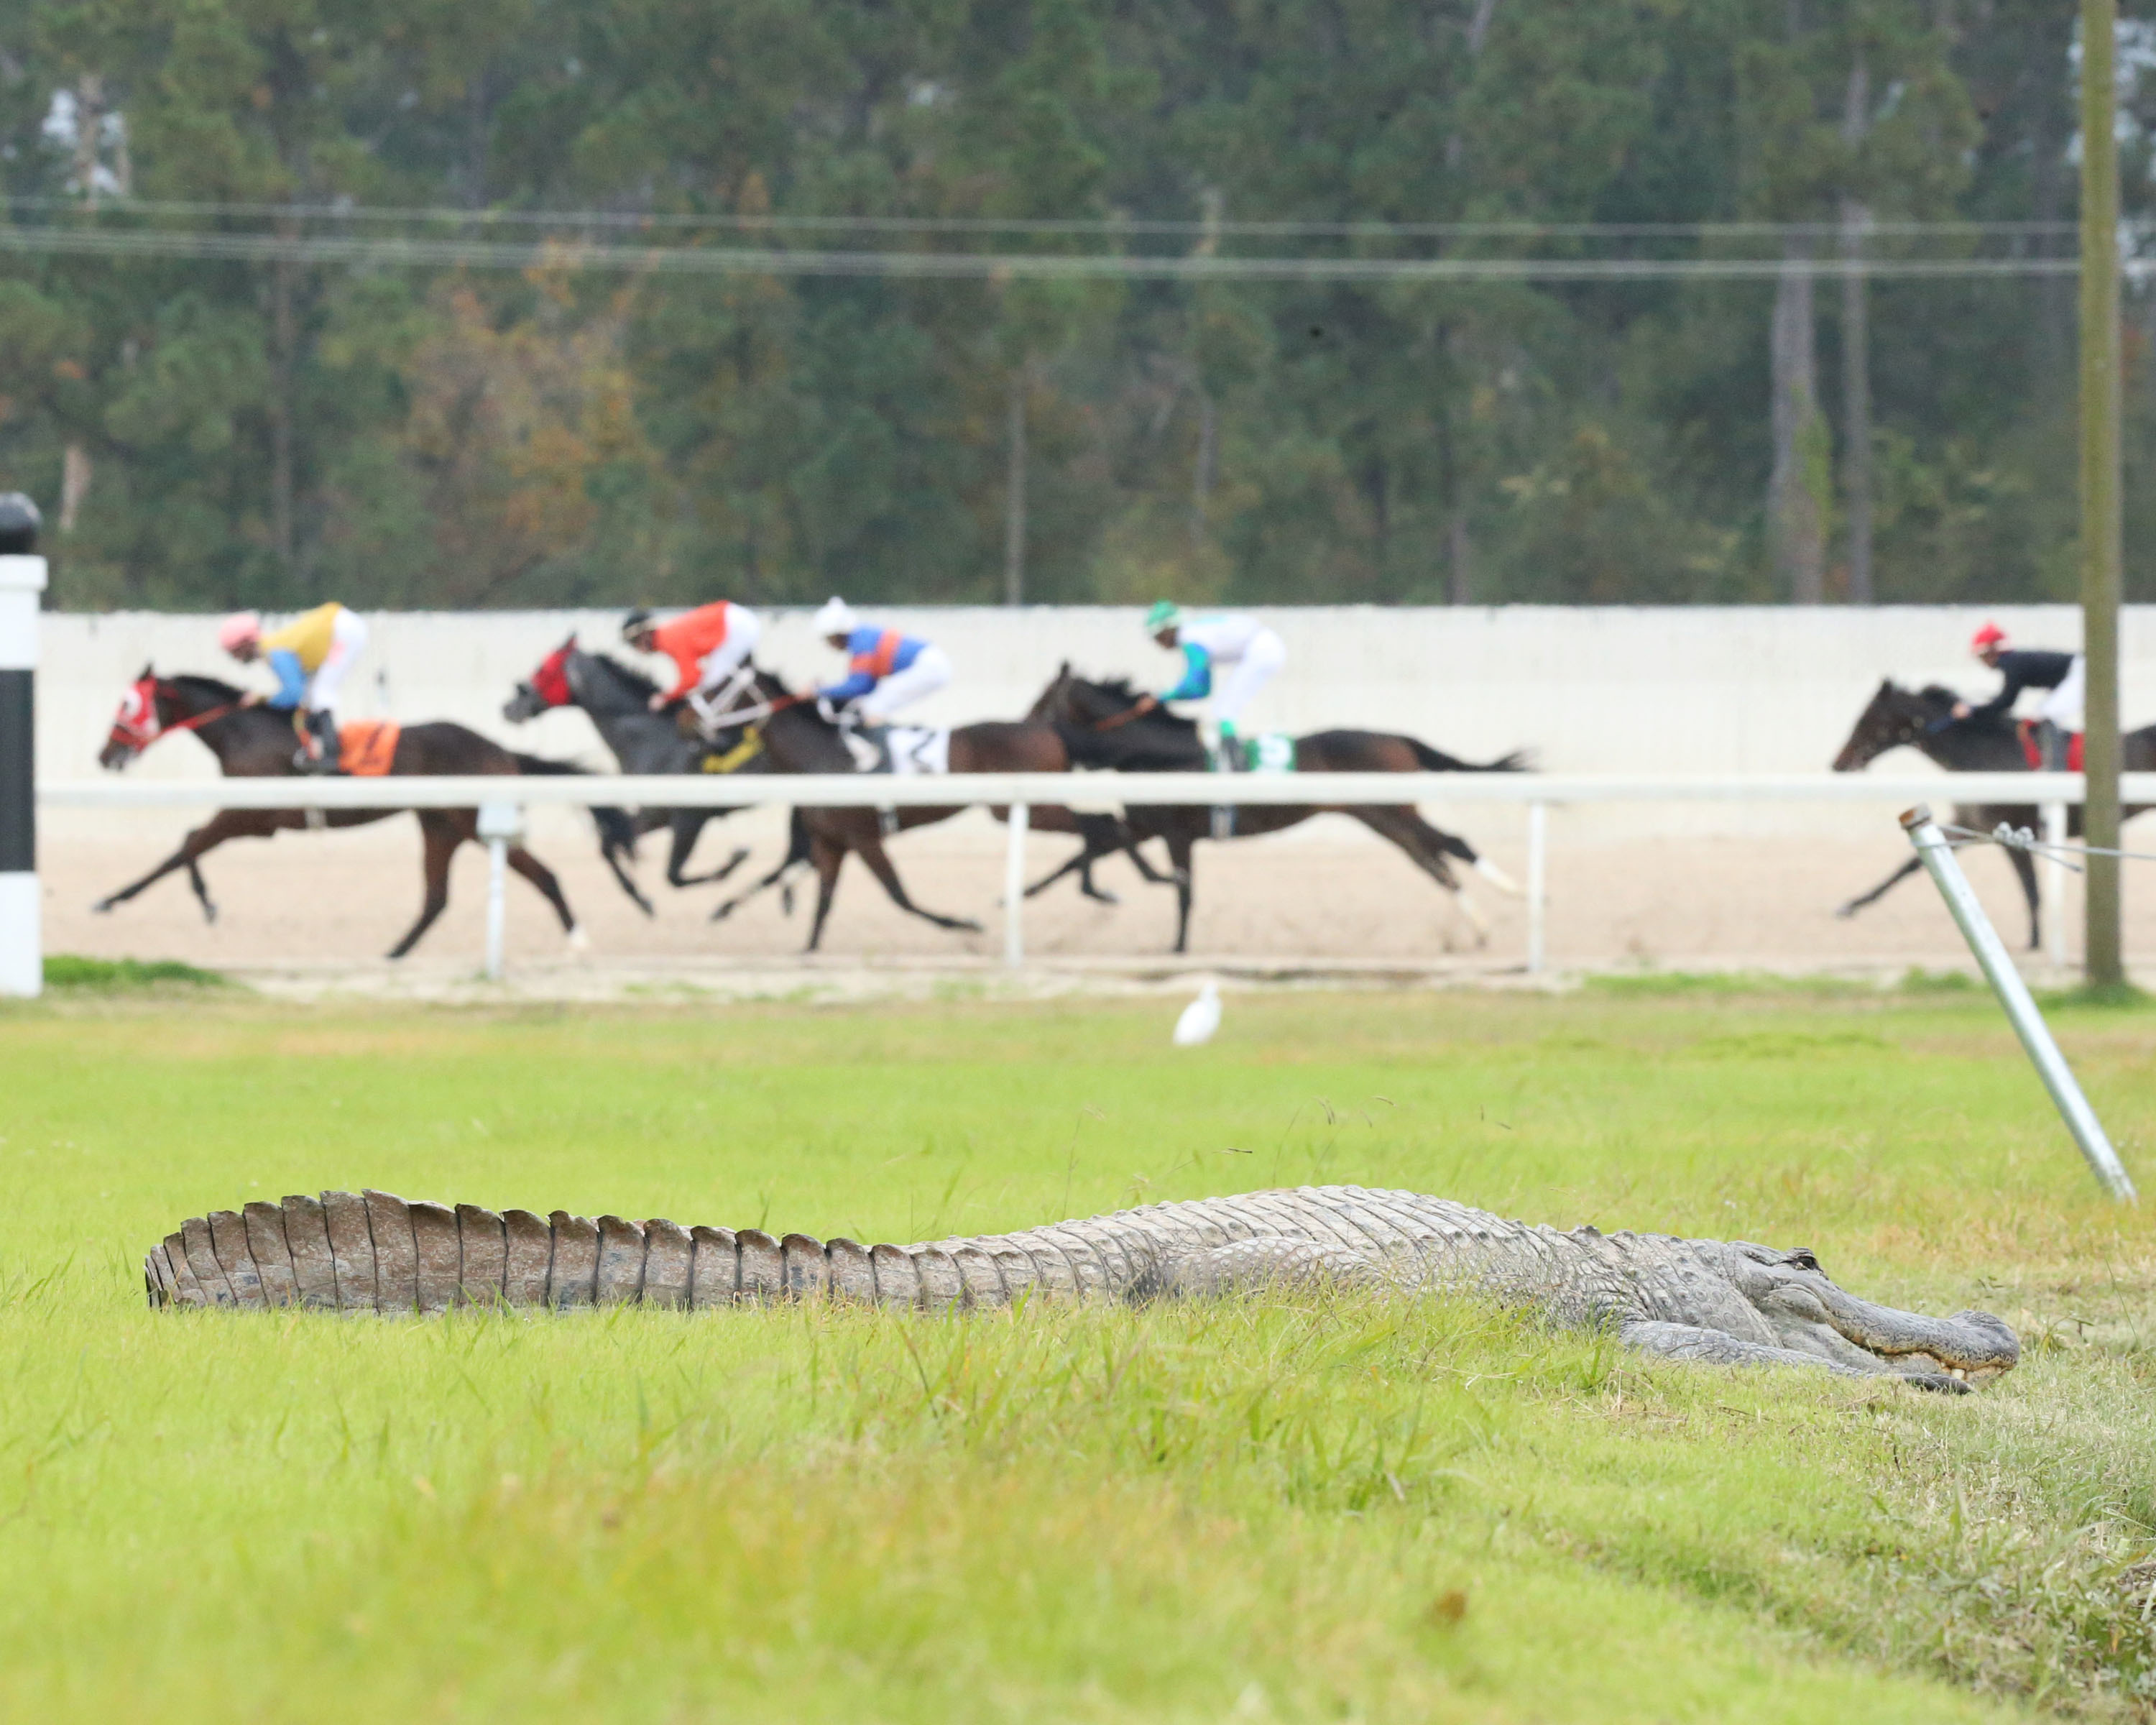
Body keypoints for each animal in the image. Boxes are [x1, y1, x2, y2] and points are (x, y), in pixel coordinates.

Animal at [94, 669, 641, 959]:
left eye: (129, 706)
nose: (104, 755)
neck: (242, 731)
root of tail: (501, 750)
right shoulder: (249, 820)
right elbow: (185, 843)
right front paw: (191, 900)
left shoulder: (248, 817)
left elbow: (183, 848)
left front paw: (120, 899)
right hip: (440, 826)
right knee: (436, 897)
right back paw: (394, 954)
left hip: (473, 824)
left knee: (542, 875)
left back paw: (577, 938)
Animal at [699, 669, 1164, 950]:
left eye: (718, 691)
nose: (695, 723)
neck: (823, 756)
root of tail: (1048, 729)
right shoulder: (831, 842)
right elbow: (825, 902)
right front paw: (808, 950)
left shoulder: (863, 837)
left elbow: (899, 896)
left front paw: (963, 925)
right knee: (1103, 825)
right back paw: (1131, 882)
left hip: (1026, 805)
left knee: (1099, 825)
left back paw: (1127, 883)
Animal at [1029, 666, 1529, 953]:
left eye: (1042, 701)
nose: (1028, 728)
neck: (1158, 754)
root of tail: (1396, 737)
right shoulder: (1145, 825)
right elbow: (1086, 852)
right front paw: (1031, 892)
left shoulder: (1174, 833)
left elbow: (1182, 891)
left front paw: (1177, 946)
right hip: (1383, 818)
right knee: (1431, 859)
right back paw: (1480, 927)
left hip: (1393, 810)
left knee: (1449, 845)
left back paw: (1515, 897)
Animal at [1829, 677, 2156, 949]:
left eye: (1867, 718)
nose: (1838, 763)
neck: (1986, 755)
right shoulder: (1970, 825)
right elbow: (1909, 865)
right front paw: (1852, 904)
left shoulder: (2013, 832)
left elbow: (2030, 887)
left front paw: (2034, 941)